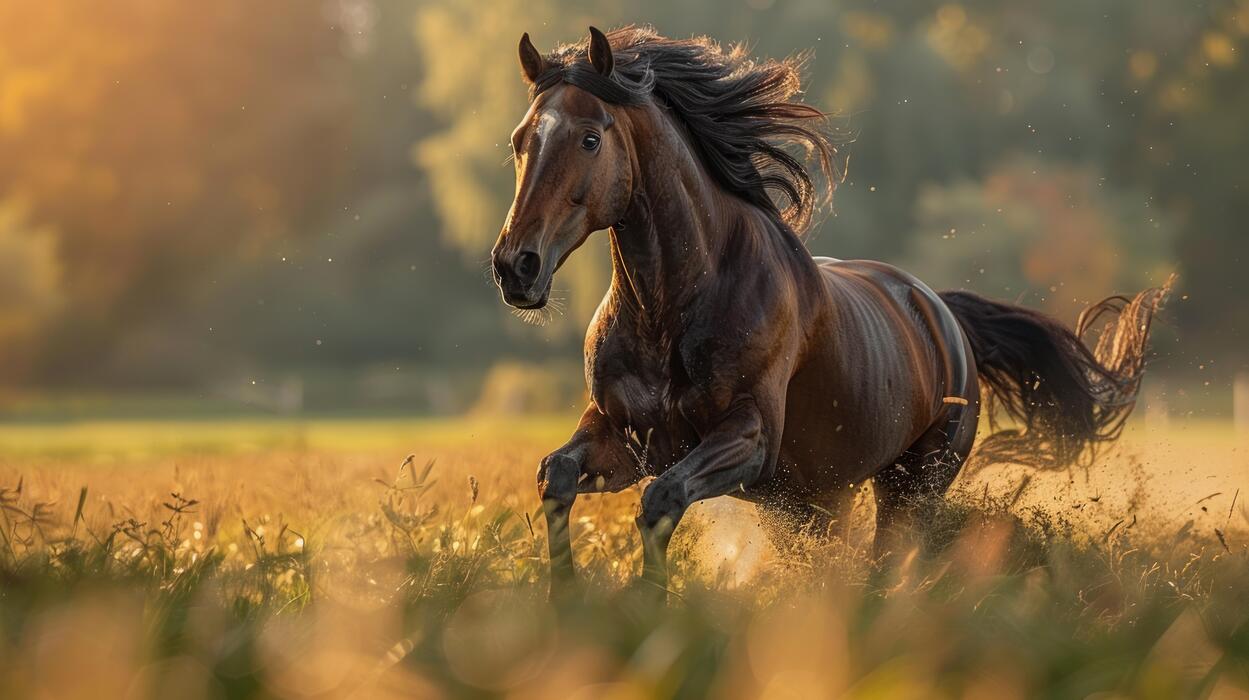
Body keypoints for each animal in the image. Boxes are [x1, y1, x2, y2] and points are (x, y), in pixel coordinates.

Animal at [489, 26, 1170, 594]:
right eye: (521, 141)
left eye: (590, 138)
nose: (515, 266)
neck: (672, 313)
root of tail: (944, 316)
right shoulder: (623, 434)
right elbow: (555, 477)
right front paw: (565, 602)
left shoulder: (748, 439)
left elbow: (661, 499)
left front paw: (649, 607)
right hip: (814, 500)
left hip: (910, 486)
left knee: (889, 561)